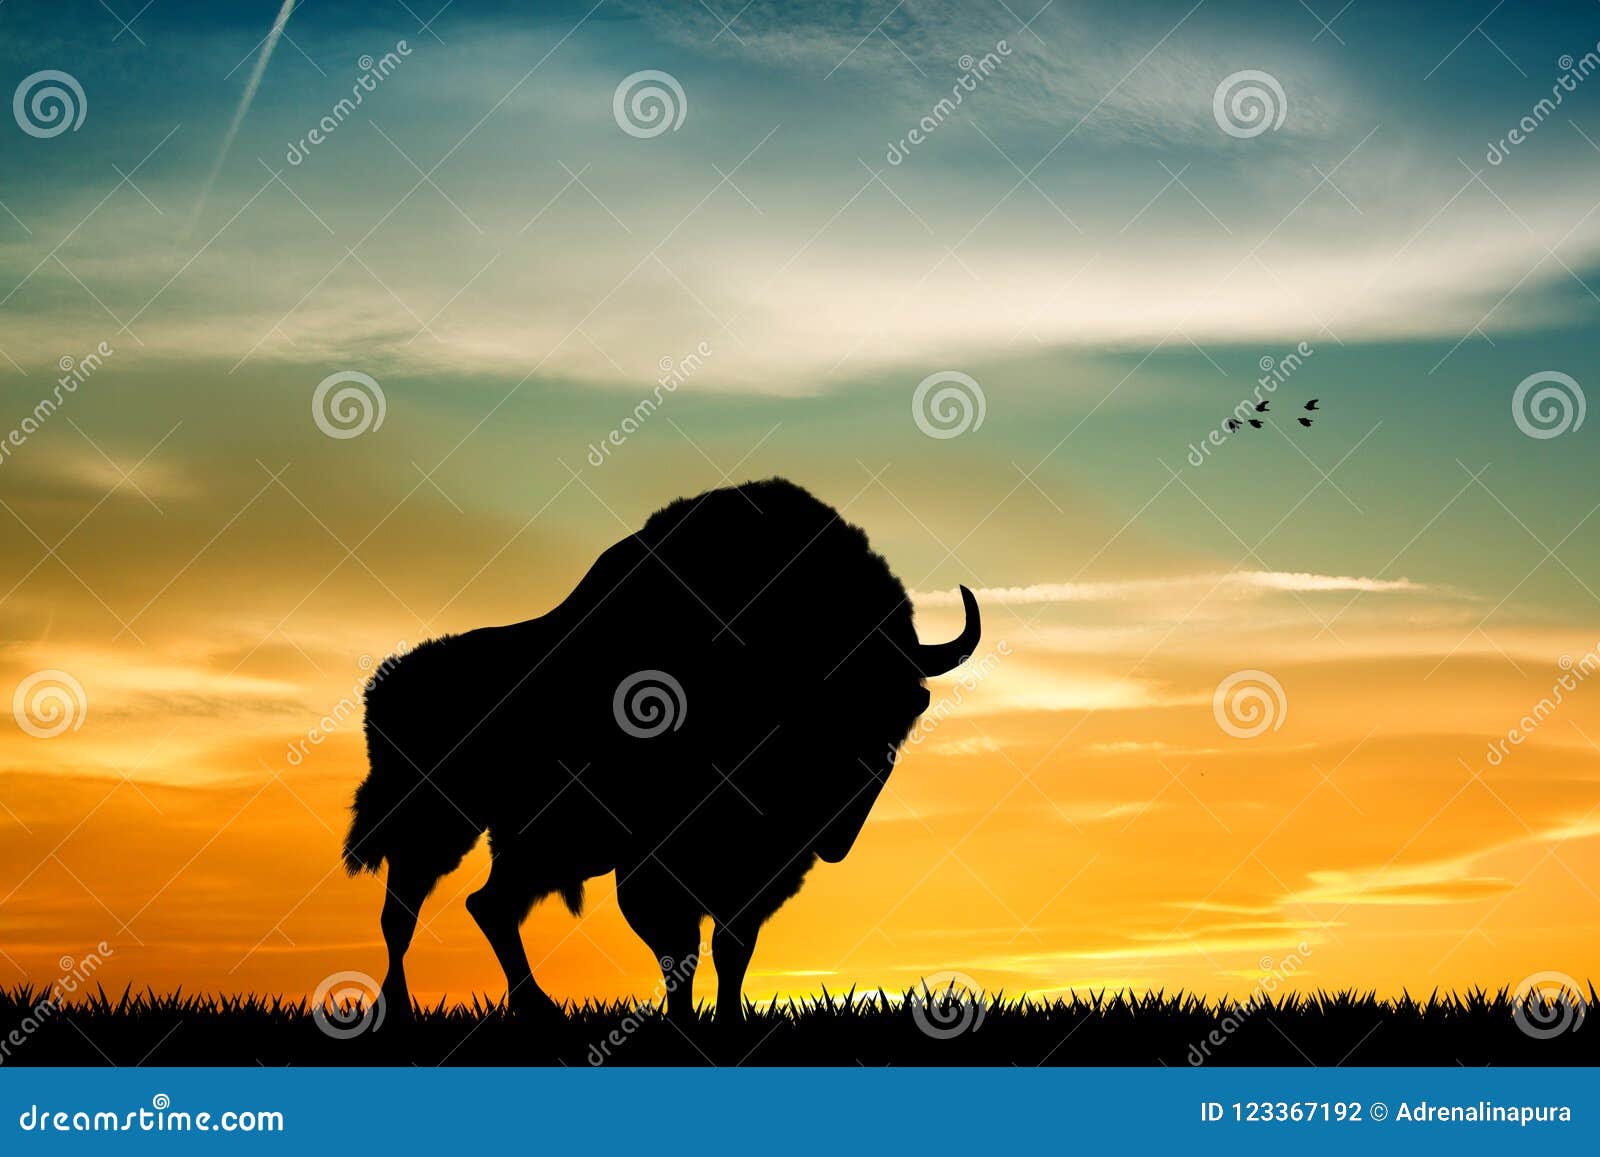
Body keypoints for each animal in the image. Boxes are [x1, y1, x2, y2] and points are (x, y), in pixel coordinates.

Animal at [342, 477, 980, 1024]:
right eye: (823, 701)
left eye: (898, 716)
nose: (837, 834)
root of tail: (388, 686)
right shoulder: (653, 860)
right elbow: (679, 946)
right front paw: (682, 1021)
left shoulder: (758, 870)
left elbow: (731, 946)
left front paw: (728, 1021)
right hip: (439, 826)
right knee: (406, 912)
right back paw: (407, 1010)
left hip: (520, 845)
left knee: (486, 904)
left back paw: (531, 1008)